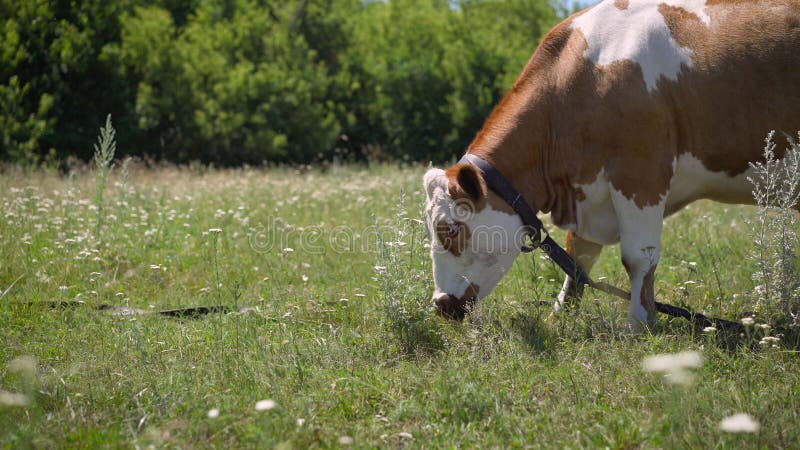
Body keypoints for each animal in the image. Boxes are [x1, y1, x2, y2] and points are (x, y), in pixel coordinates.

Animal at [423, 0, 800, 330]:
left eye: (450, 229)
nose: (440, 304)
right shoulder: (587, 193)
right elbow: (578, 259)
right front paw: (560, 317)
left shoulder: (641, 175)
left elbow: (638, 257)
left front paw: (639, 325)